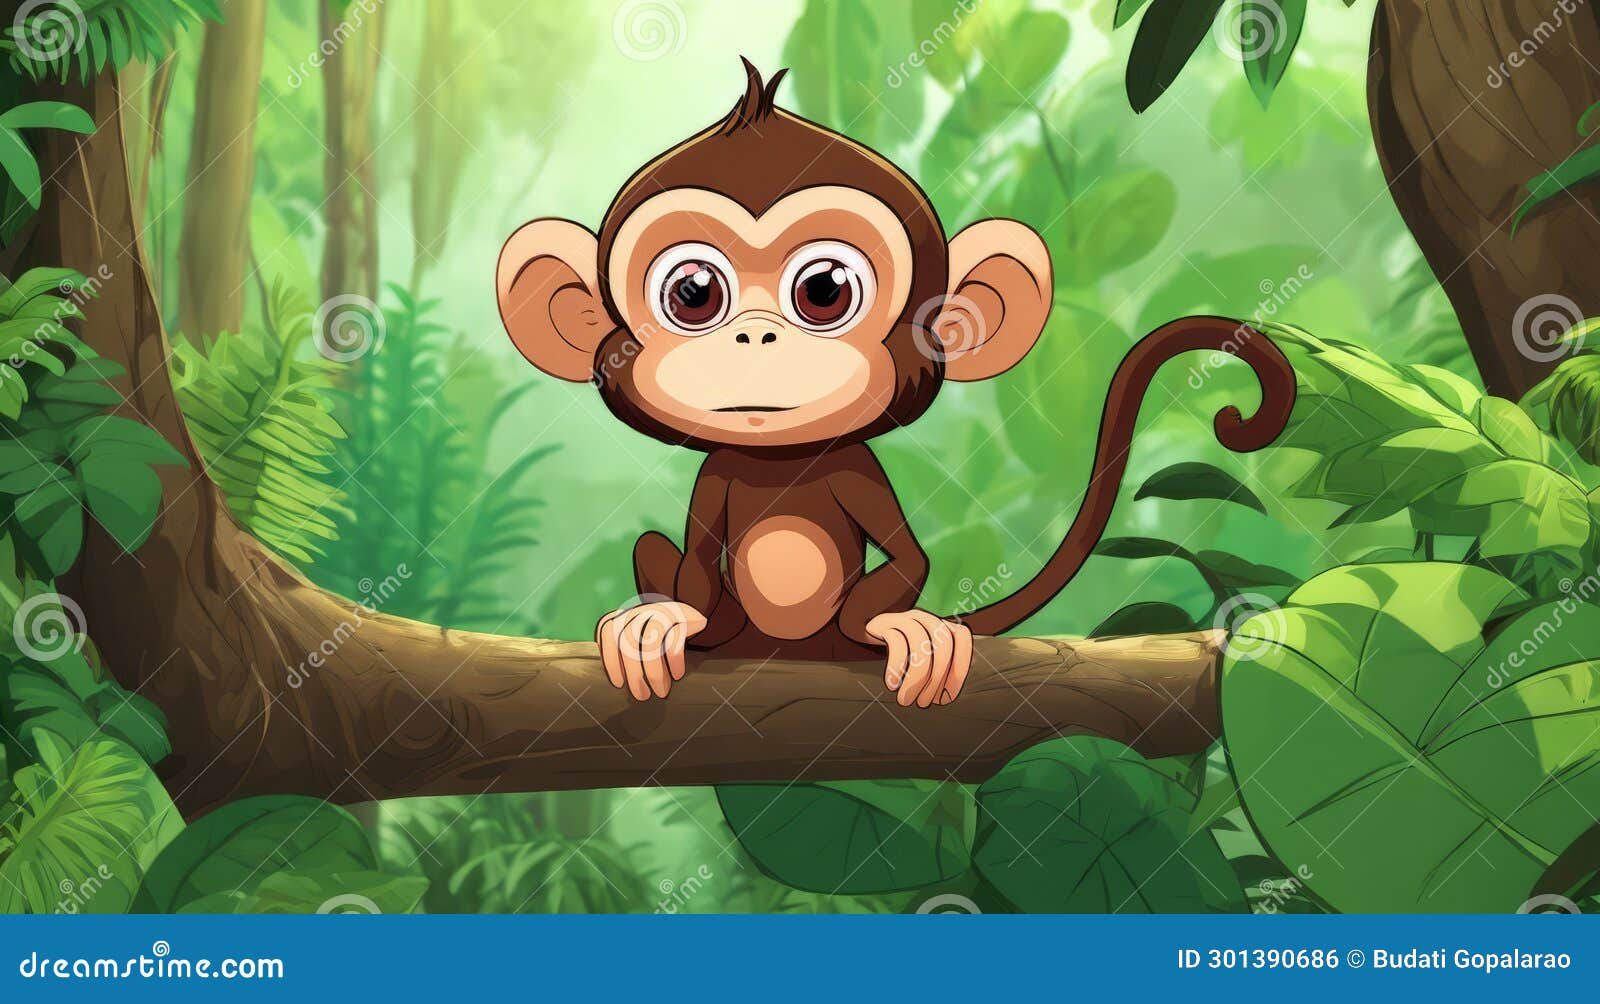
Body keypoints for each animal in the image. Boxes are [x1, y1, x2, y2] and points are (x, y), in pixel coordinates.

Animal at [496, 60, 1295, 708]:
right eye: (694, 292)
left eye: (823, 289)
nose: (754, 336)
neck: (780, 459)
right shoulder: (721, 472)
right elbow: (692, 562)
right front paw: (669, 617)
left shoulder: (853, 466)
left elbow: (909, 559)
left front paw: (904, 630)